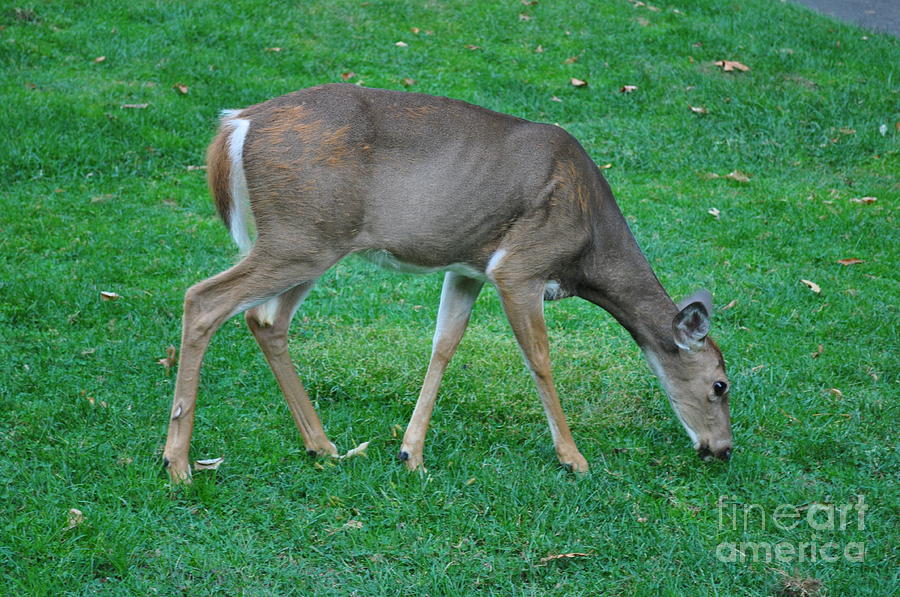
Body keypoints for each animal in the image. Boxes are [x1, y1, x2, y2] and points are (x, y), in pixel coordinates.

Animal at [162, 83, 732, 482]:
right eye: (720, 385)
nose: (724, 449)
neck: (589, 248)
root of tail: (237, 124)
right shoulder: (520, 265)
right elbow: (540, 358)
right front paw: (574, 459)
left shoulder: (466, 268)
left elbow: (445, 344)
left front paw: (410, 453)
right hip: (301, 235)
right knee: (204, 299)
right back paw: (179, 464)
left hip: (315, 240)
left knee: (265, 318)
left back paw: (322, 446)